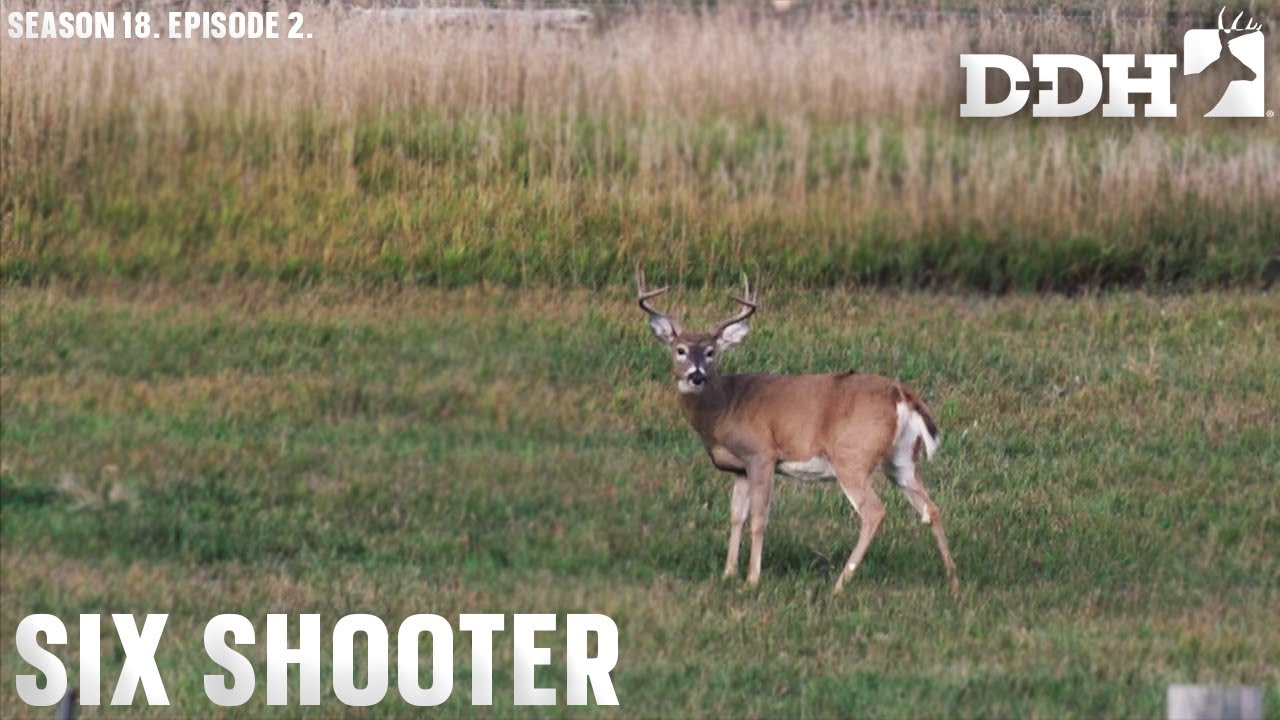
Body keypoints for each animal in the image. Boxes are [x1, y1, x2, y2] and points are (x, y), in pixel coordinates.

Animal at [636, 270, 958, 596]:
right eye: (680, 350)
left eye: (711, 352)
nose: (696, 375)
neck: (724, 406)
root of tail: (902, 394)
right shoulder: (740, 468)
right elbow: (736, 516)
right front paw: (728, 574)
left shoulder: (761, 454)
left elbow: (759, 518)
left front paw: (752, 579)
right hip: (901, 459)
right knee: (931, 508)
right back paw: (953, 581)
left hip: (852, 457)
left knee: (874, 512)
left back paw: (839, 585)